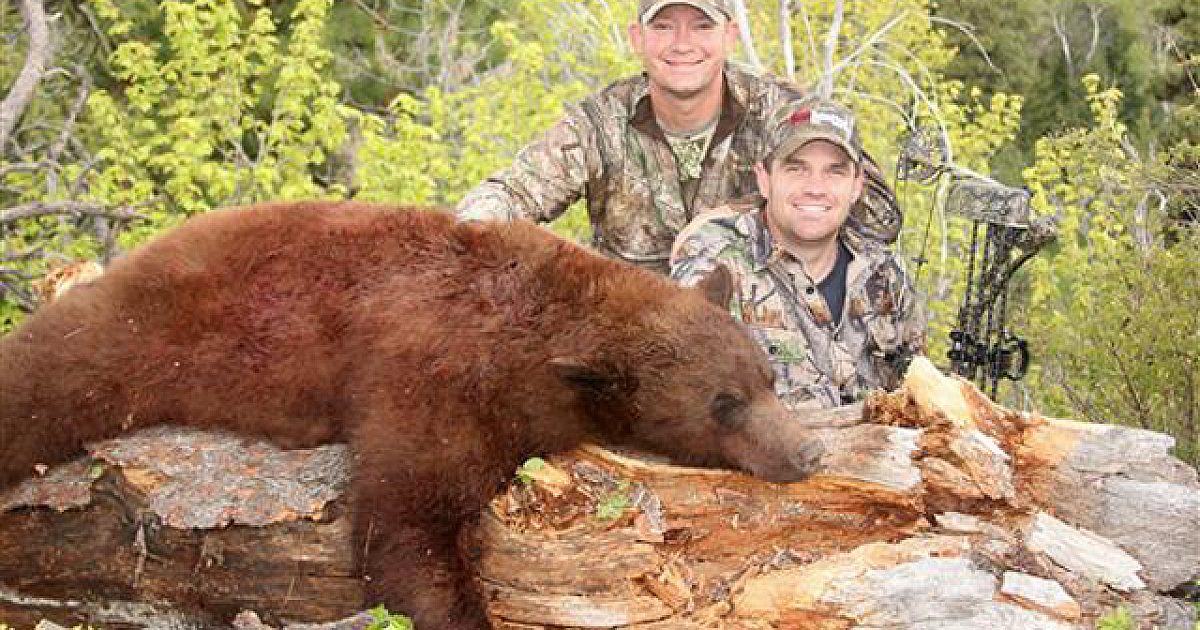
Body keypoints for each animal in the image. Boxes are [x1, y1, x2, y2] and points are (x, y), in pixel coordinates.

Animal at [0, 201, 824, 629]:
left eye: (766, 378)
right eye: (724, 405)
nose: (808, 454)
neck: (542, 330)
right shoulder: (434, 373)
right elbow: (403, 520)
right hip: (130, 340)